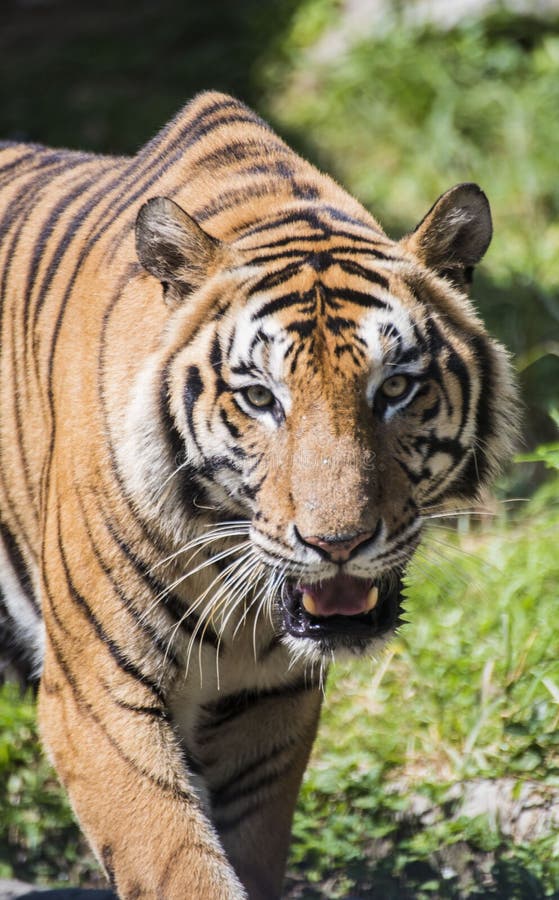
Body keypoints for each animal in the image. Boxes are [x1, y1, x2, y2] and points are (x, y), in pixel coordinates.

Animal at [0, 91, 517, 899]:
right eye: (259, 397)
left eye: (395, 389)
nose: (338, 544)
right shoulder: (97, 699)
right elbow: (178, 866)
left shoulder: (268, 702)